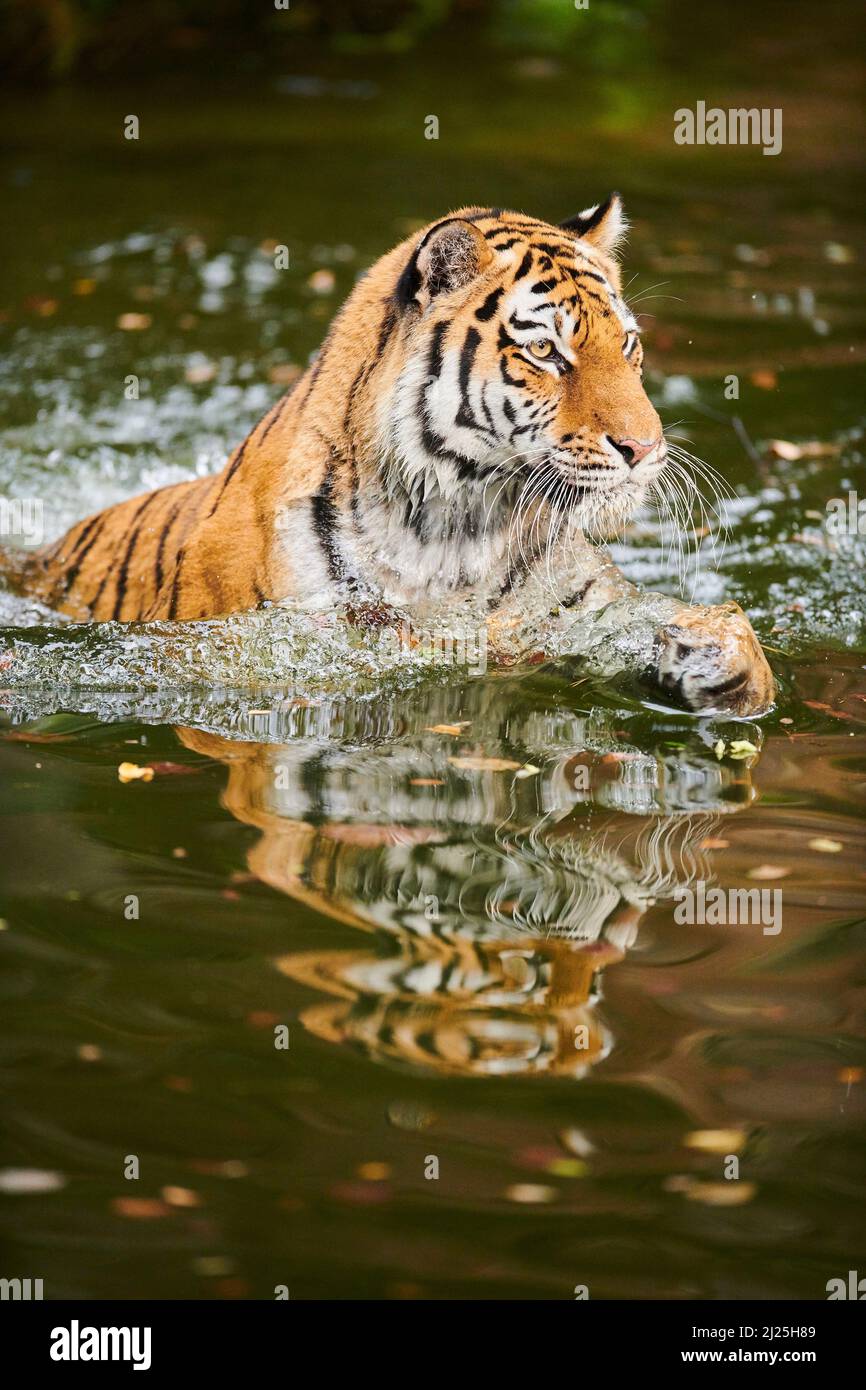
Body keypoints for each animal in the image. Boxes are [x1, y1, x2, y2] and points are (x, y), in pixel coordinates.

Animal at [19, 194, 774, 715]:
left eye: (628, 345)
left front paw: (717, 657)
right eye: (544, 350)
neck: (456, 522)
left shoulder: (582, 603)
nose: (646, 448)